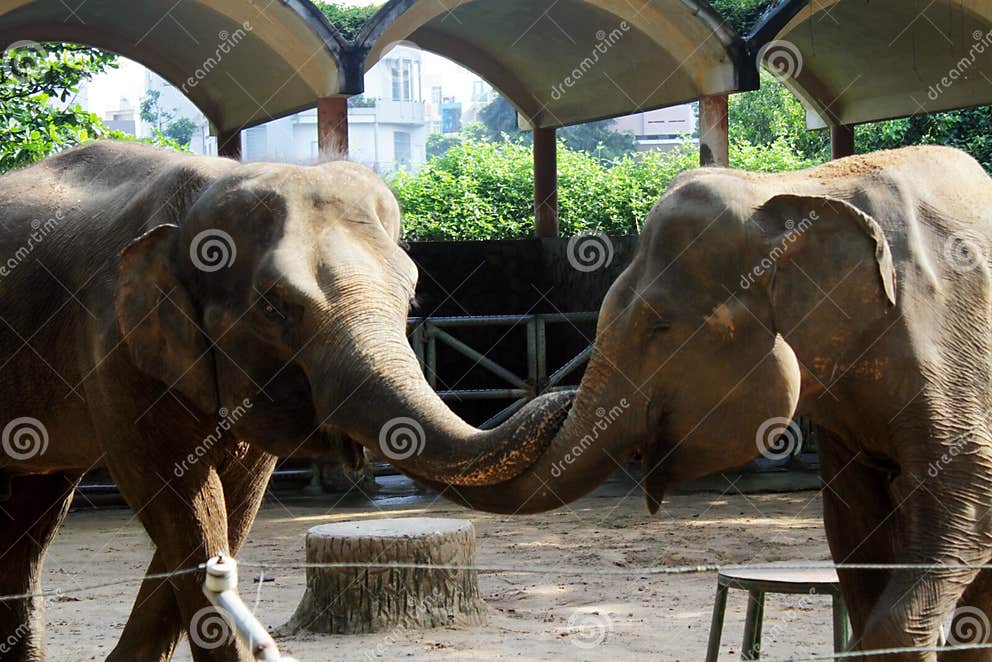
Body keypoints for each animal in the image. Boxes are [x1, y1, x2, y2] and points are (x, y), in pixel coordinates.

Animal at [0, 141, 572, 661]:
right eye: (273, 307)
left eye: (411, 295)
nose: (566, 398)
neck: (198, 199)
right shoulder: (114, 351)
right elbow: (183, 504)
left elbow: (233, 507)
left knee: (32, 509)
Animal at [425, 145, 992, 660]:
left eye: (659, 325)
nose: (556, 397)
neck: (793, 189)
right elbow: (854, 521)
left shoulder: (945, 338)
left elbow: (969, 486)